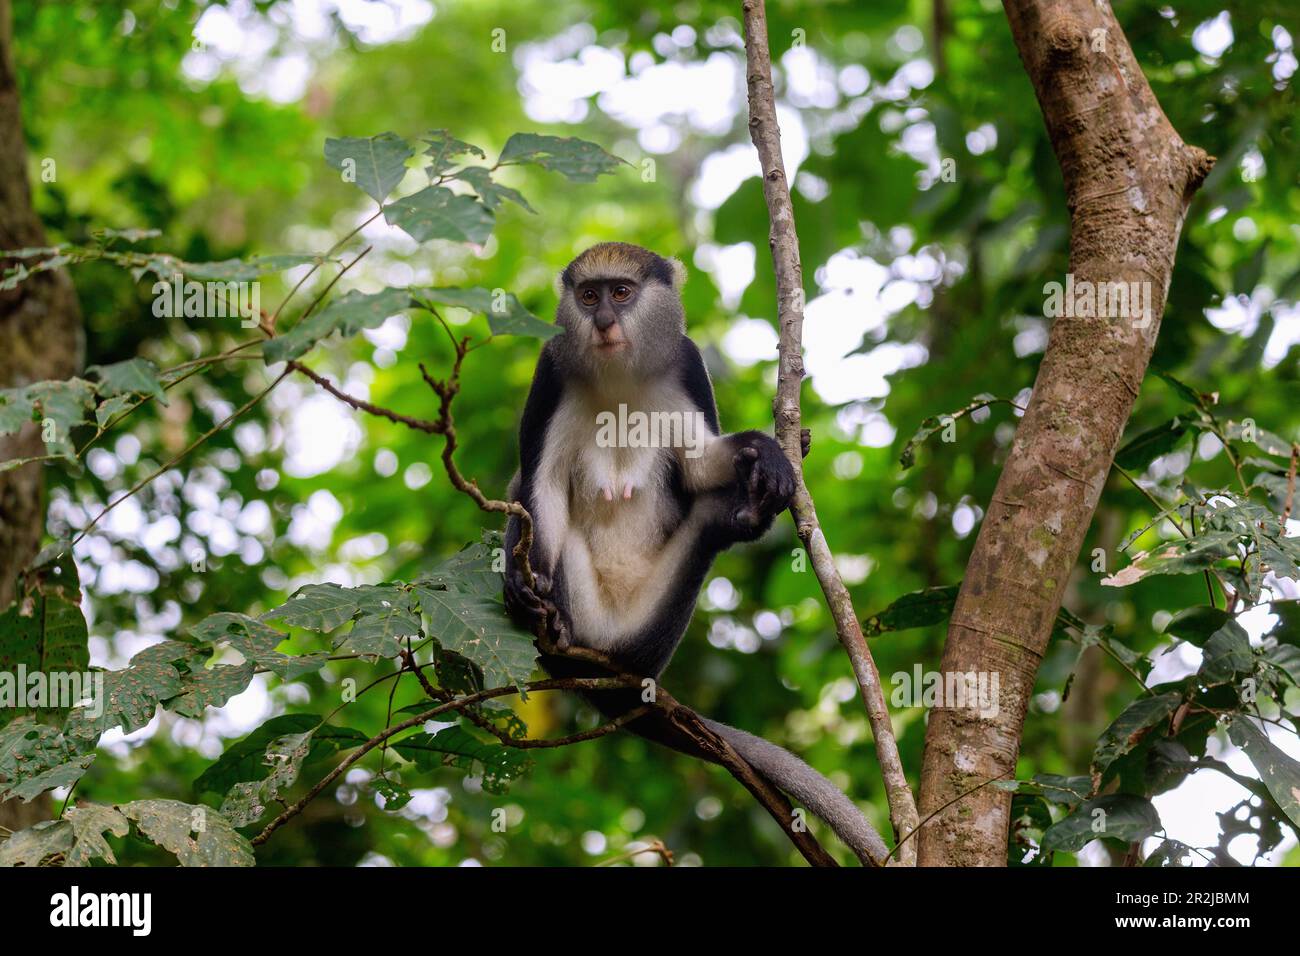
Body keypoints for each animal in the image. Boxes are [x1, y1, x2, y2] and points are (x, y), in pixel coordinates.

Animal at [503, 242, 887, 865]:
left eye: (622, 293)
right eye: (588, 295)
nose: (602, 321)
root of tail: (619, 666)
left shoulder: (685, 363)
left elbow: (701, 465)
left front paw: (765, 451)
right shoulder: (550, 371)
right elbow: (540, 491)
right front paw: (523, 586)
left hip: (655, 624)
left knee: (711, 518)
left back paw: (745, 517)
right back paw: (552, 624)